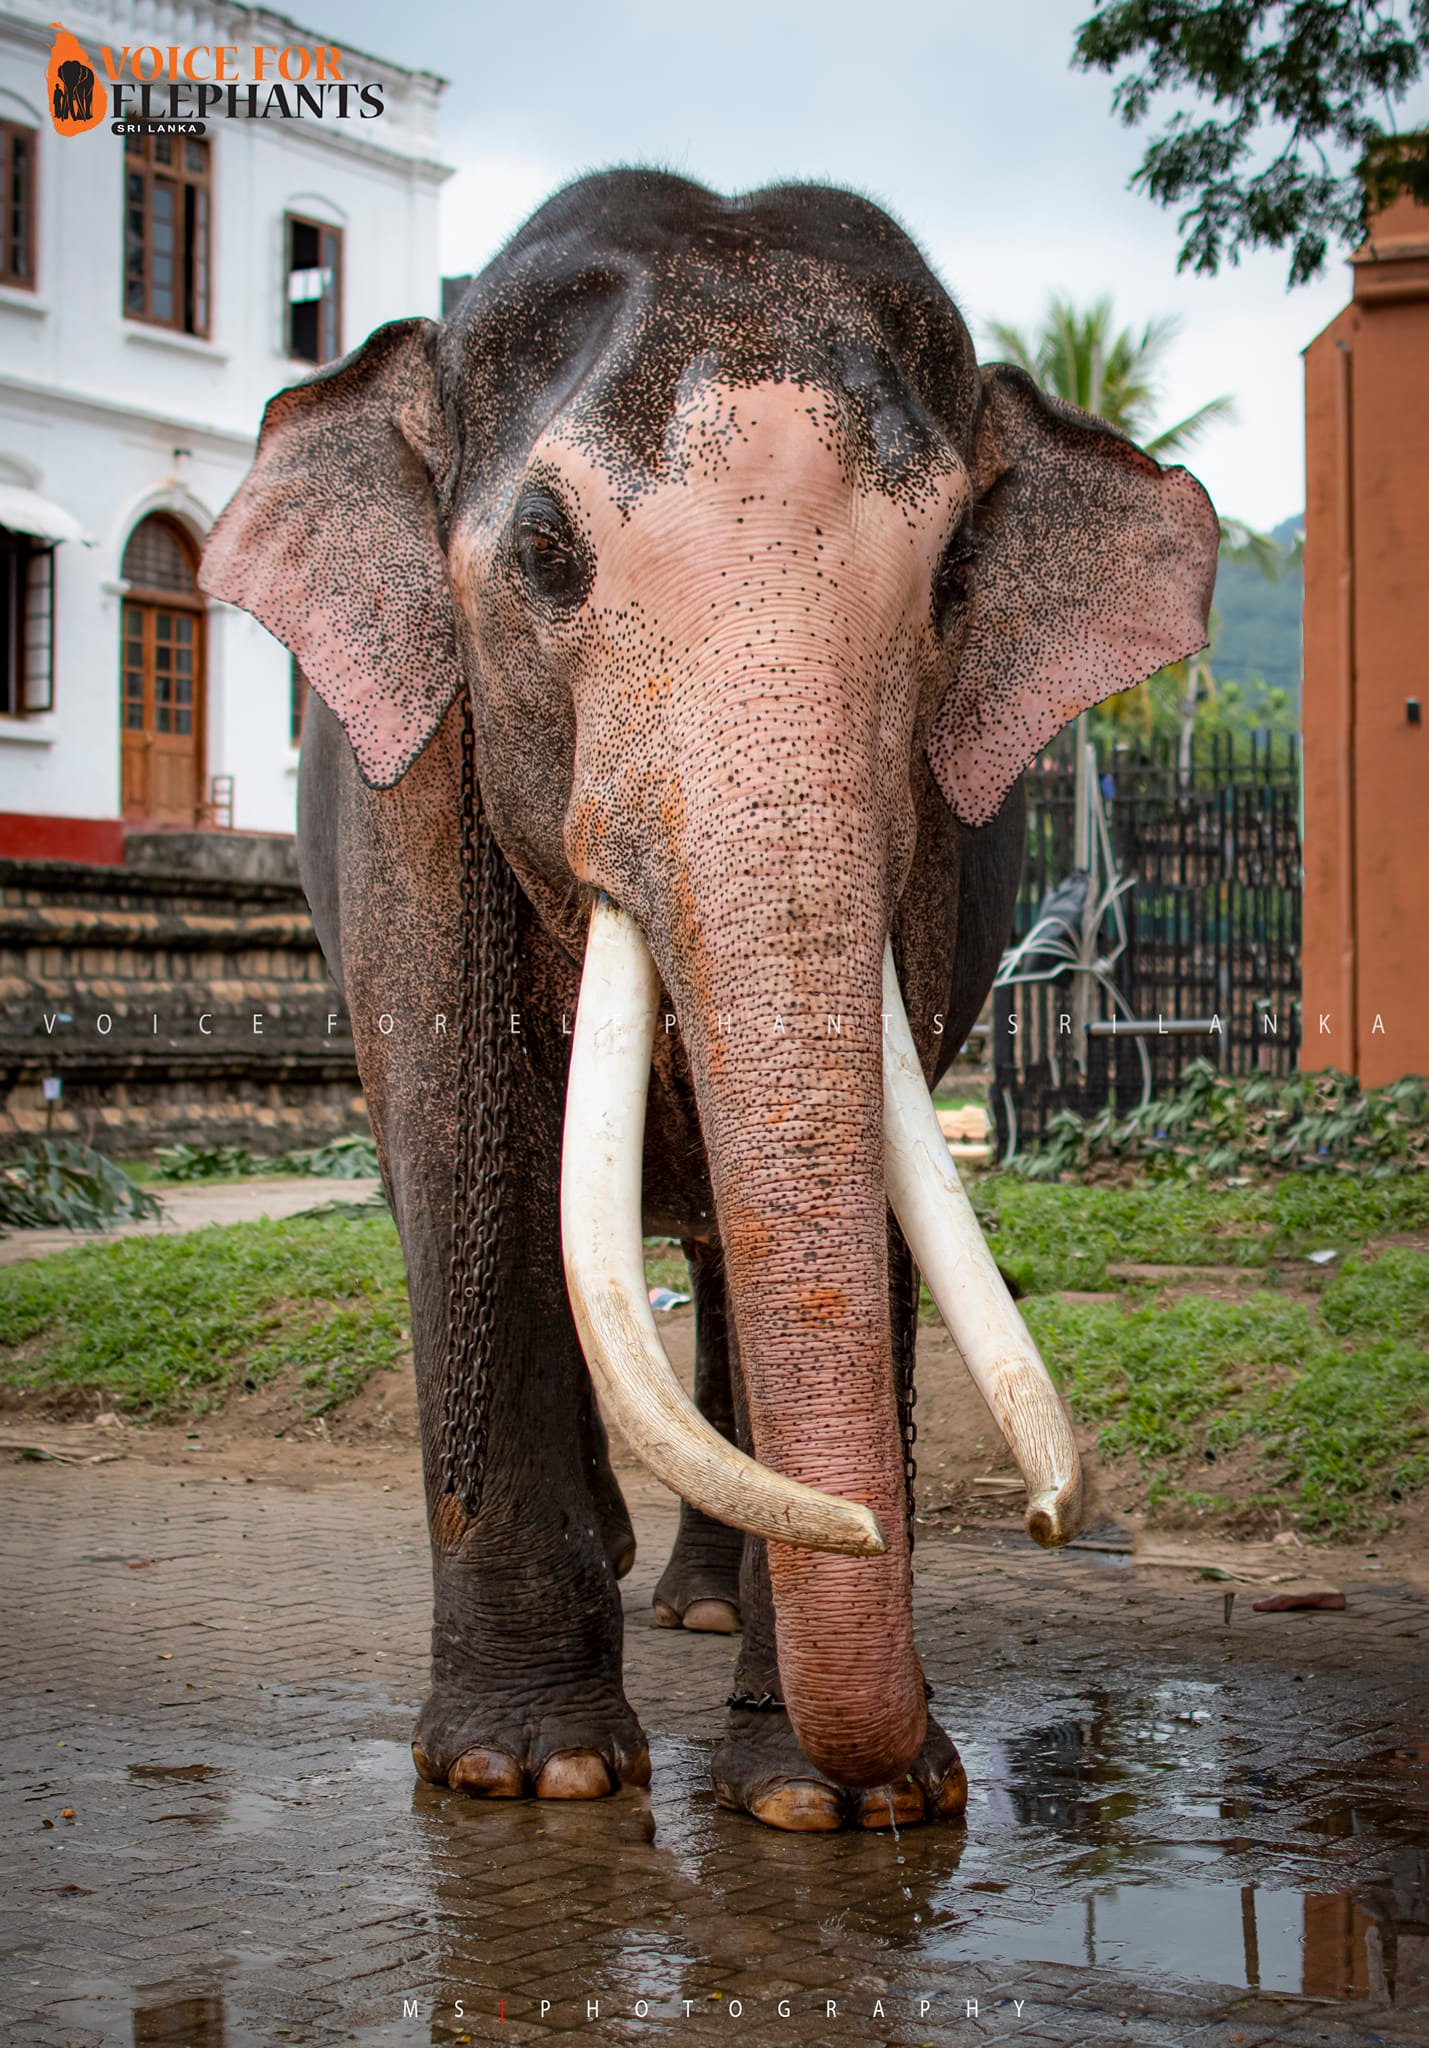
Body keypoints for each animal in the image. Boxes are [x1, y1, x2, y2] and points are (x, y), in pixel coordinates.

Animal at [201, 169, 1217, 1833]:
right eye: (545, 553)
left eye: (954, 575)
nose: (860, 1530)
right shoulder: (408, 791)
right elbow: (466, 1171)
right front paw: (525, 1770)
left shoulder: (933, 843)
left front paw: (835, 1804)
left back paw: (707, 1609)